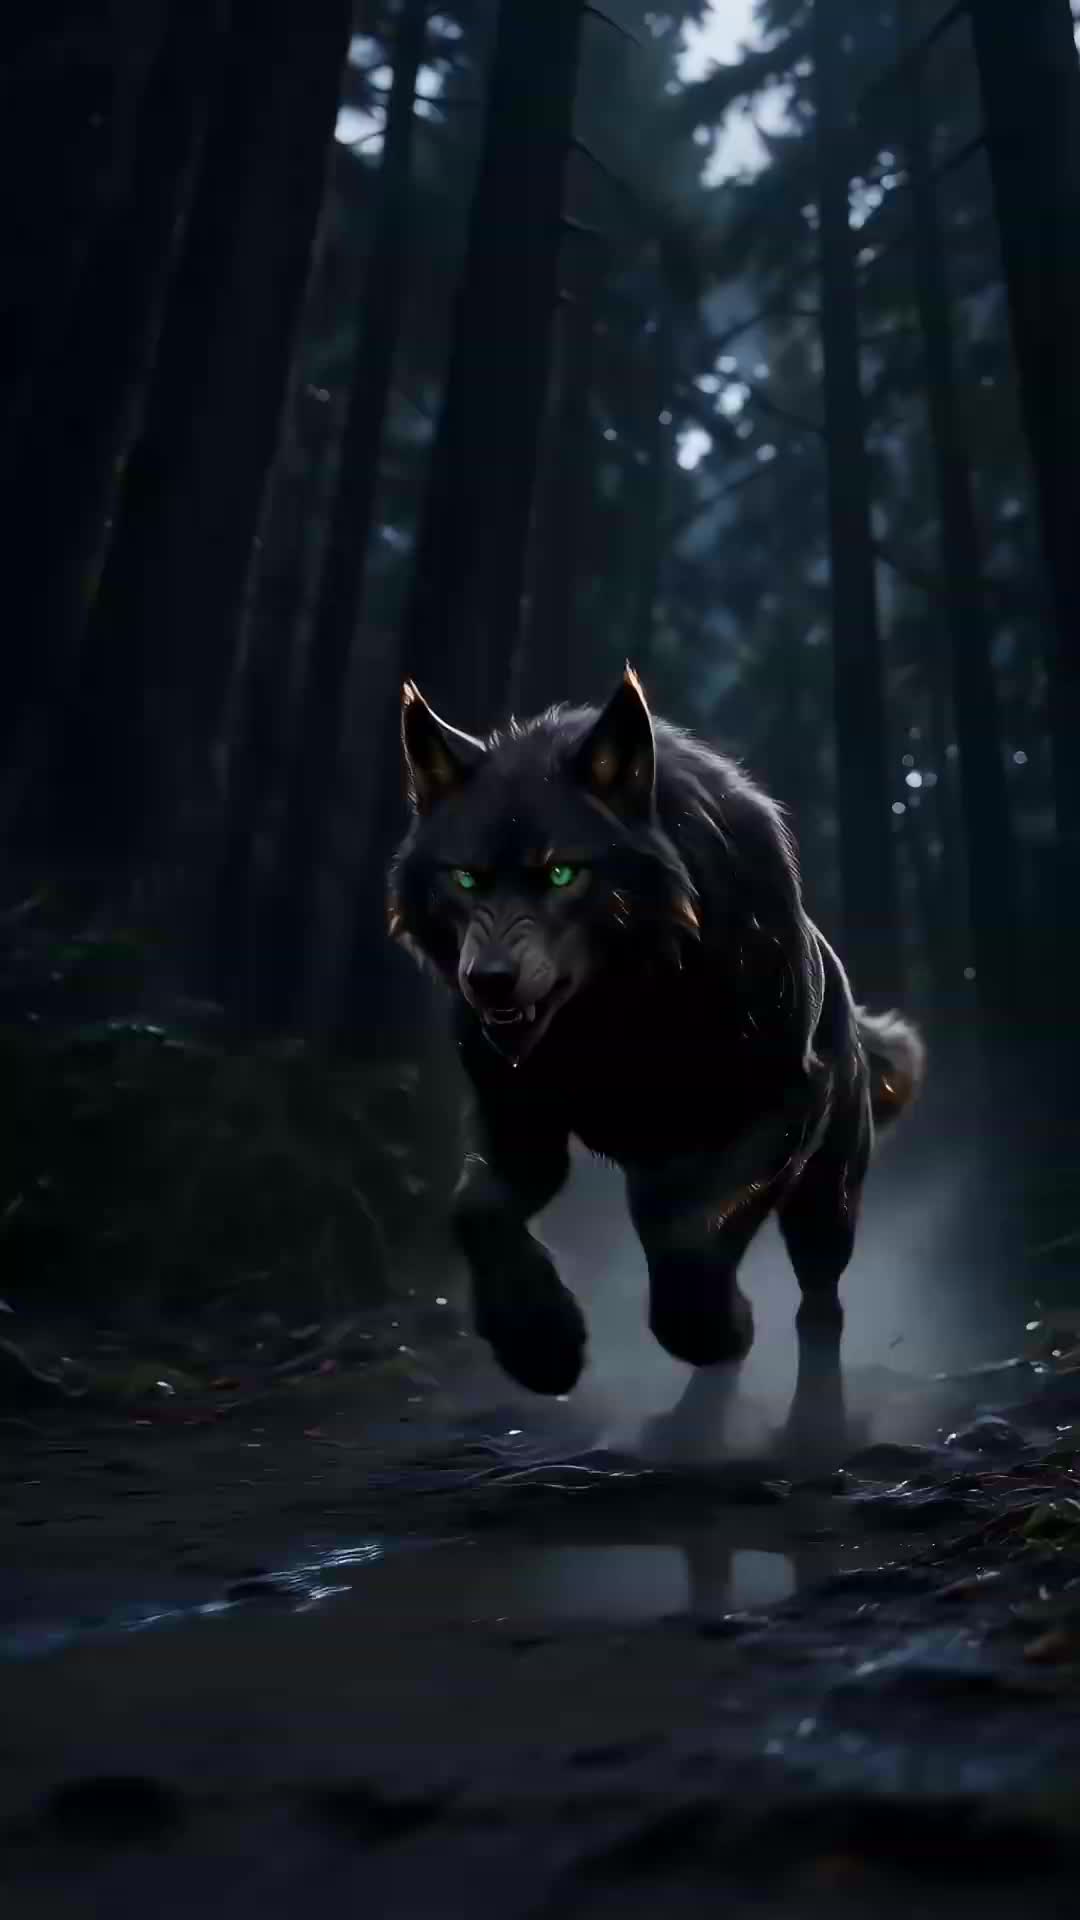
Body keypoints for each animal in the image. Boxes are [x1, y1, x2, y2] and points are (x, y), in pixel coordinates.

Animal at [389, 668, 924, 1455]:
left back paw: (810, 1426)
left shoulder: (778, 1109)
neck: (620, 1016)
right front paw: (541, 1343)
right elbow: (477, 1211)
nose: (488, 981)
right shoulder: (517, 1125)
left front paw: (717, 1327)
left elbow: (688, 1242)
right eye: (465, 879)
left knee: (818, 1304)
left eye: (561, 874)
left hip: (827, 1196)